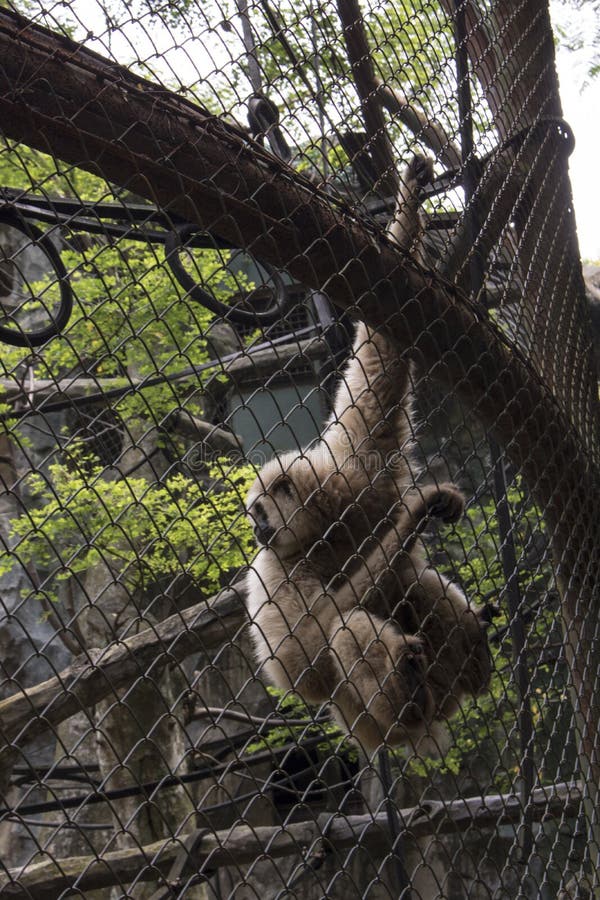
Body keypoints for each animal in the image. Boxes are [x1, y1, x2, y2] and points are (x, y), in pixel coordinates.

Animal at [243, 155, 493, 755]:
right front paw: (415, 518)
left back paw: (474, 663)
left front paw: (411, 196)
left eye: (259, 512)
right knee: (345, 628)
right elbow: (306, 654)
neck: (326, 529)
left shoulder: (361, 465)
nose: (257, 530)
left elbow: (382, 357)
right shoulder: (271, 570)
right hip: (365, 721)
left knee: (415, 585)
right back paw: (406, 691)